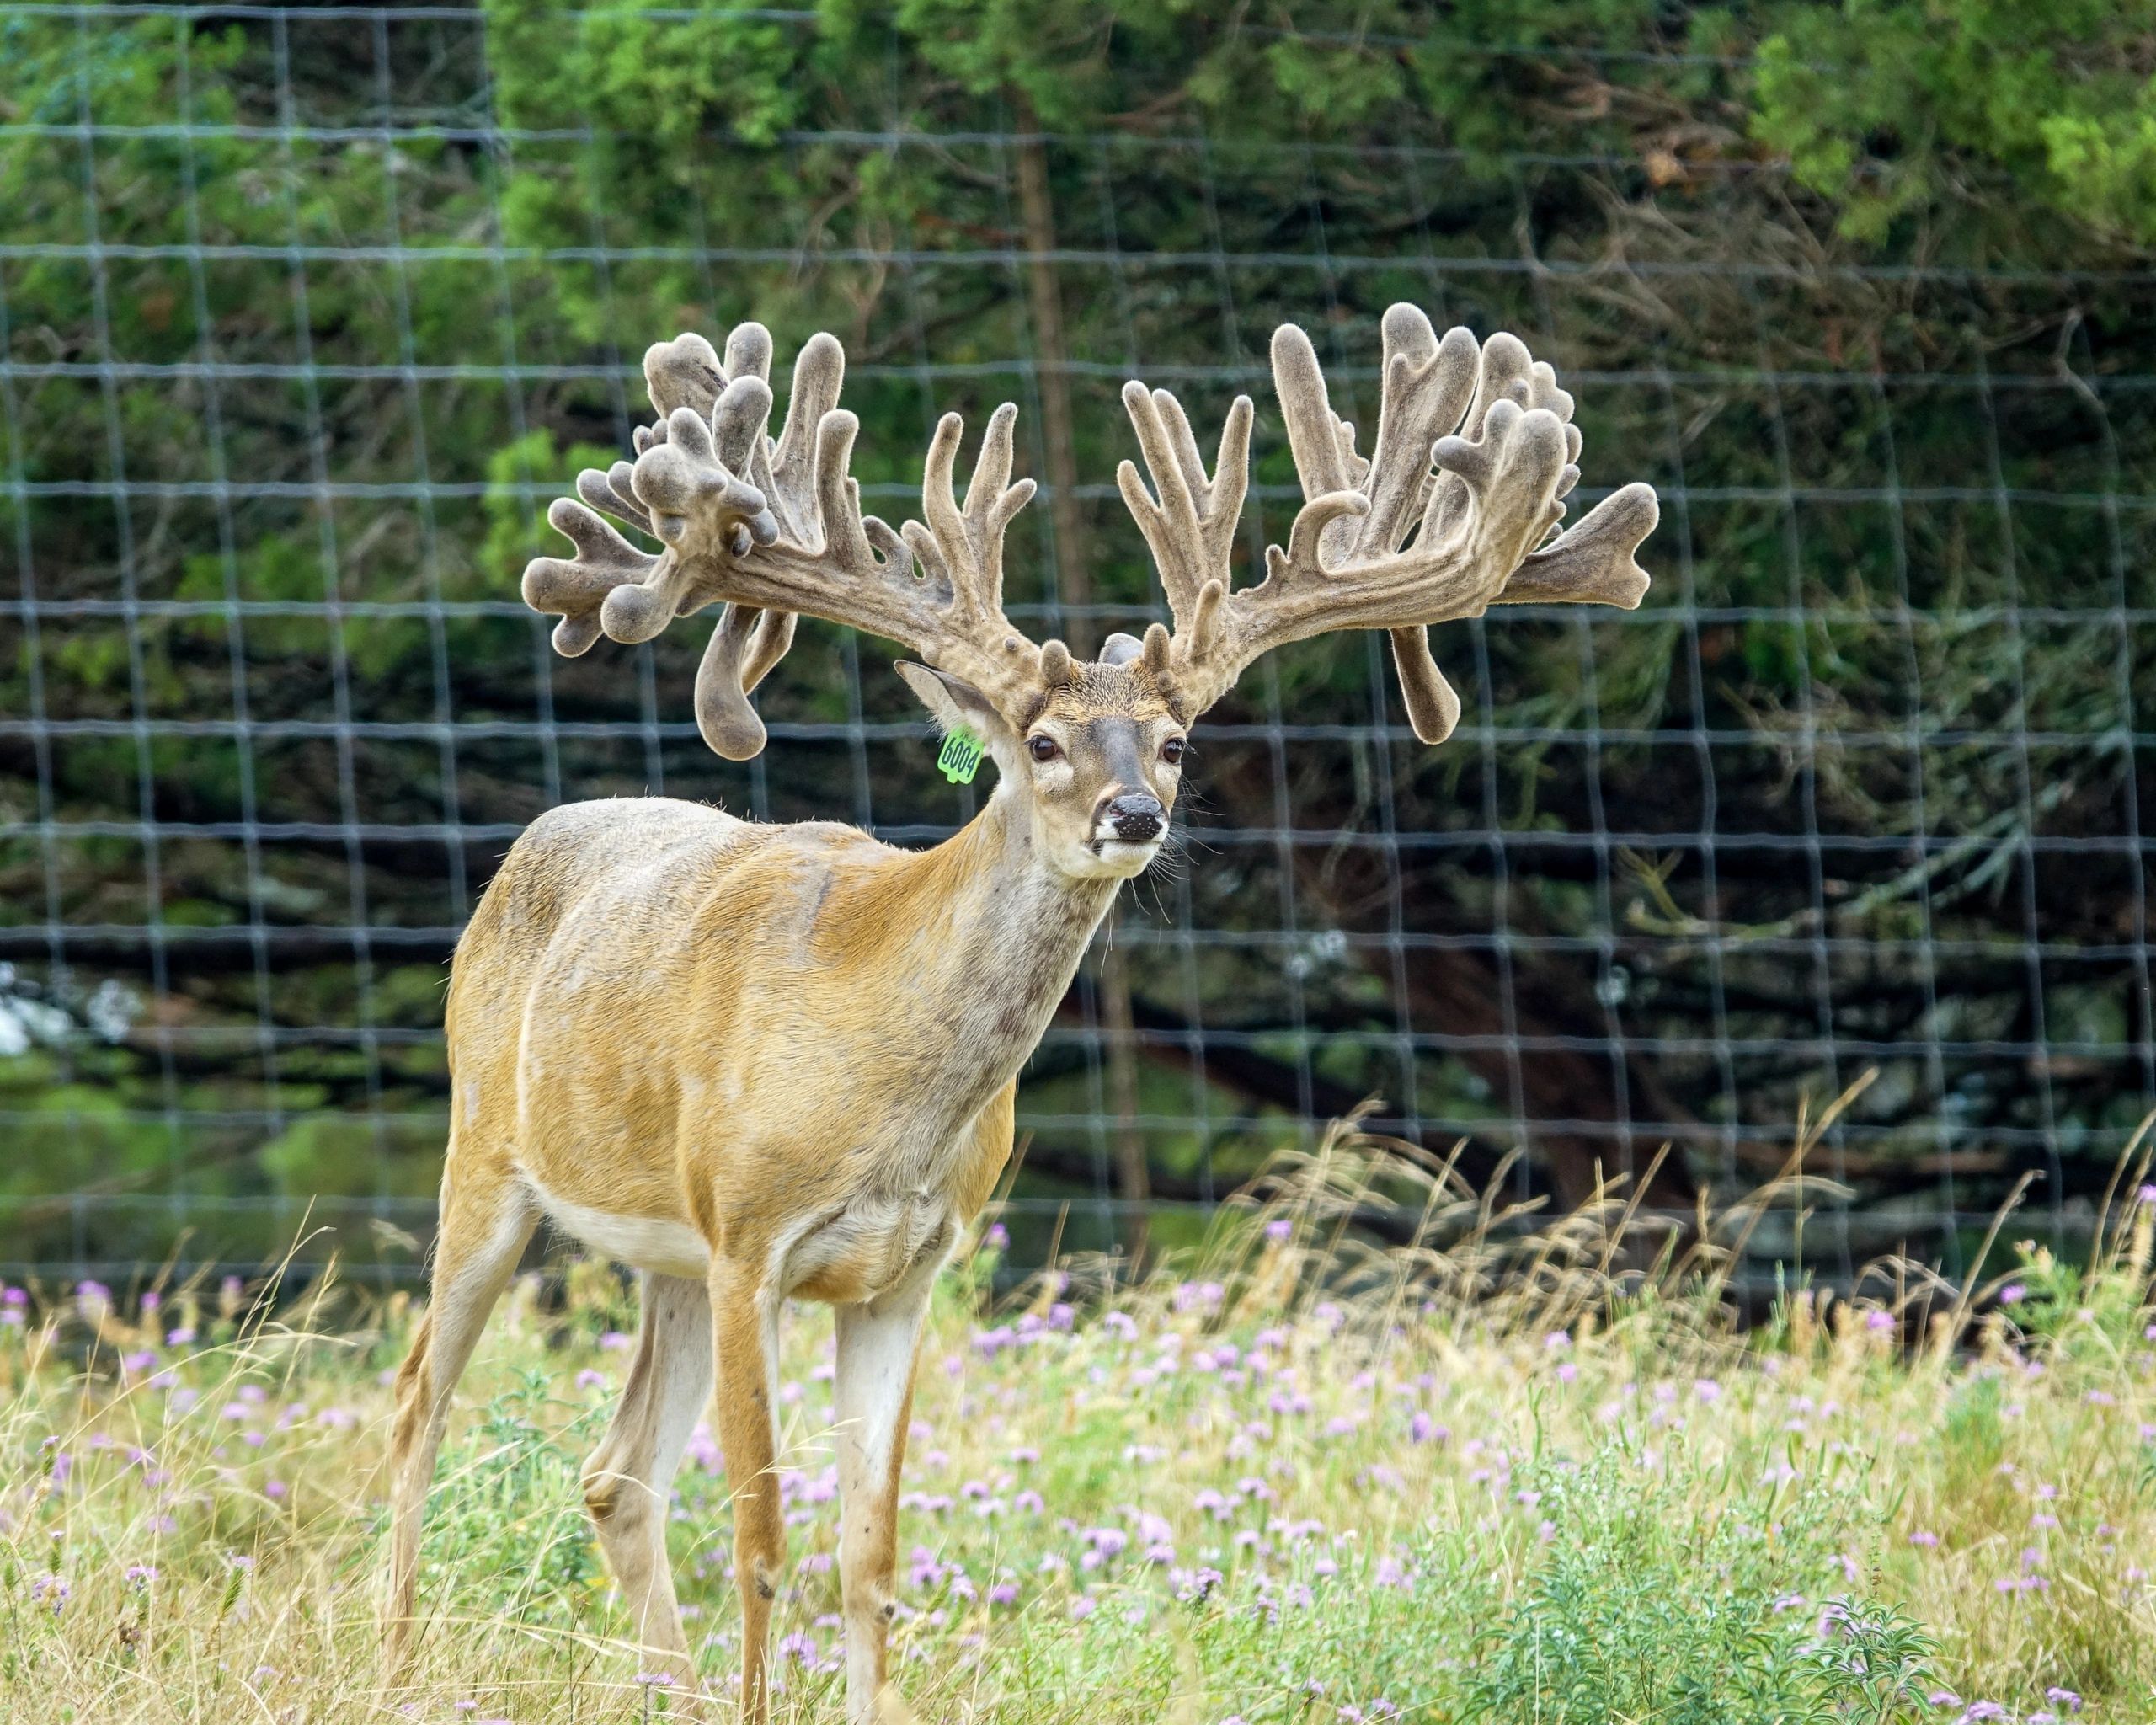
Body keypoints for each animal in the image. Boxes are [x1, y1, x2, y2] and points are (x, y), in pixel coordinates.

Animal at [381, 303, 1658, 1722]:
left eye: (1172, 743)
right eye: (1042, 745)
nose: (1134, 816)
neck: (883, 1083)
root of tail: (530, 843)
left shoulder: (907, 1265)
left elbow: (869, 1557)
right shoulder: (752, 1234)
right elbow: (764, 1543)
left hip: (662, 1252)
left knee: (615, 1473)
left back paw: (668, 1690)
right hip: (489, 1158)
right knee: (417, 1403)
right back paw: (396, 1666)